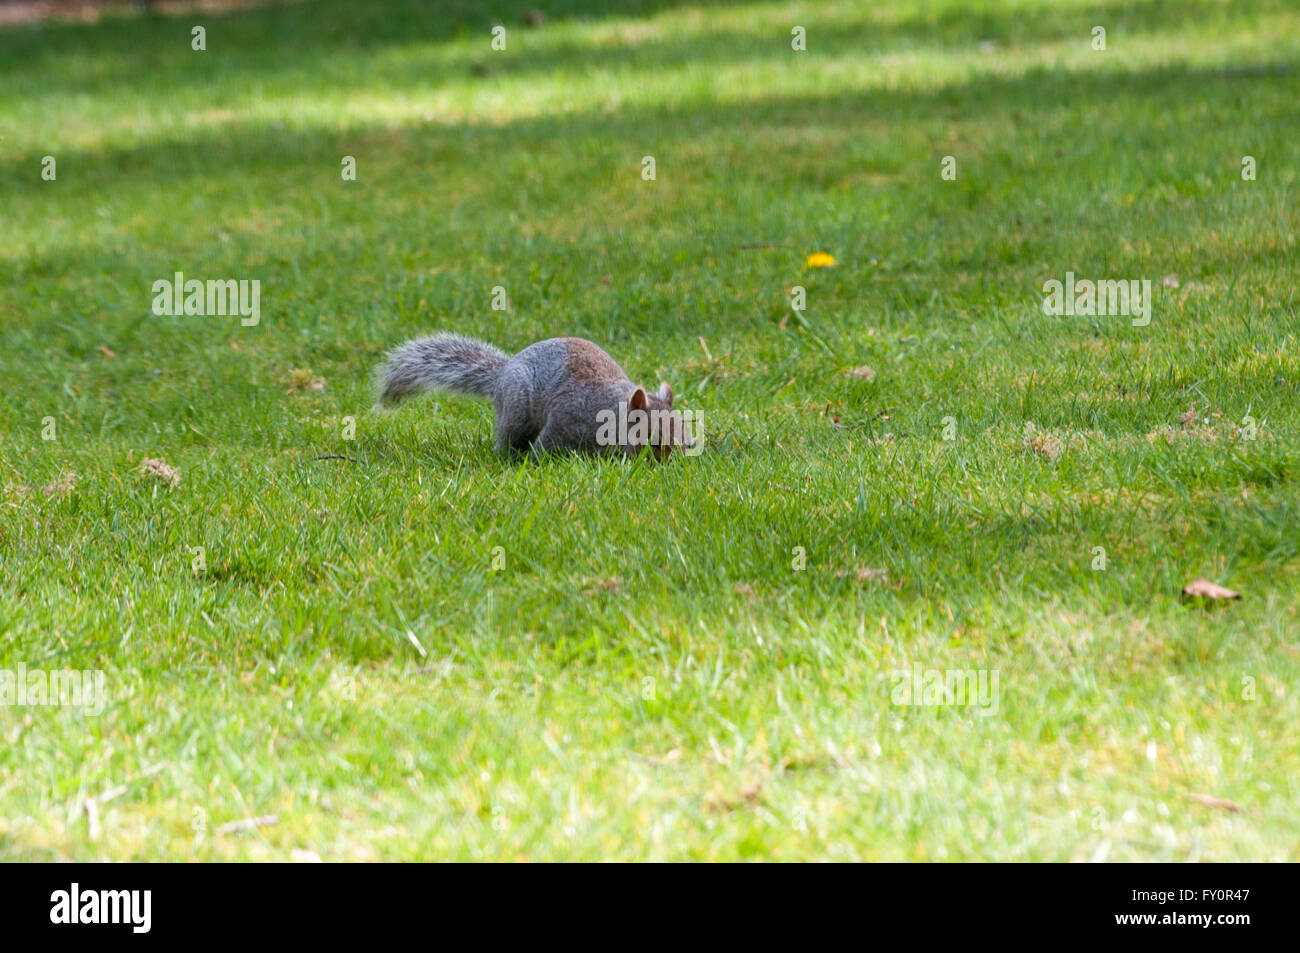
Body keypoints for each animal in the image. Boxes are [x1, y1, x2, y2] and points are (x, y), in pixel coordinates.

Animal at [377, 333, 693, 459]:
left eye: (687, 442)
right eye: (652, 441)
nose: (668, 467)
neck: (610, 413)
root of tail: (502, 375)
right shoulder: (566, 420)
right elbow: (546, 445)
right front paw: (534, 462)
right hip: (517, 410)